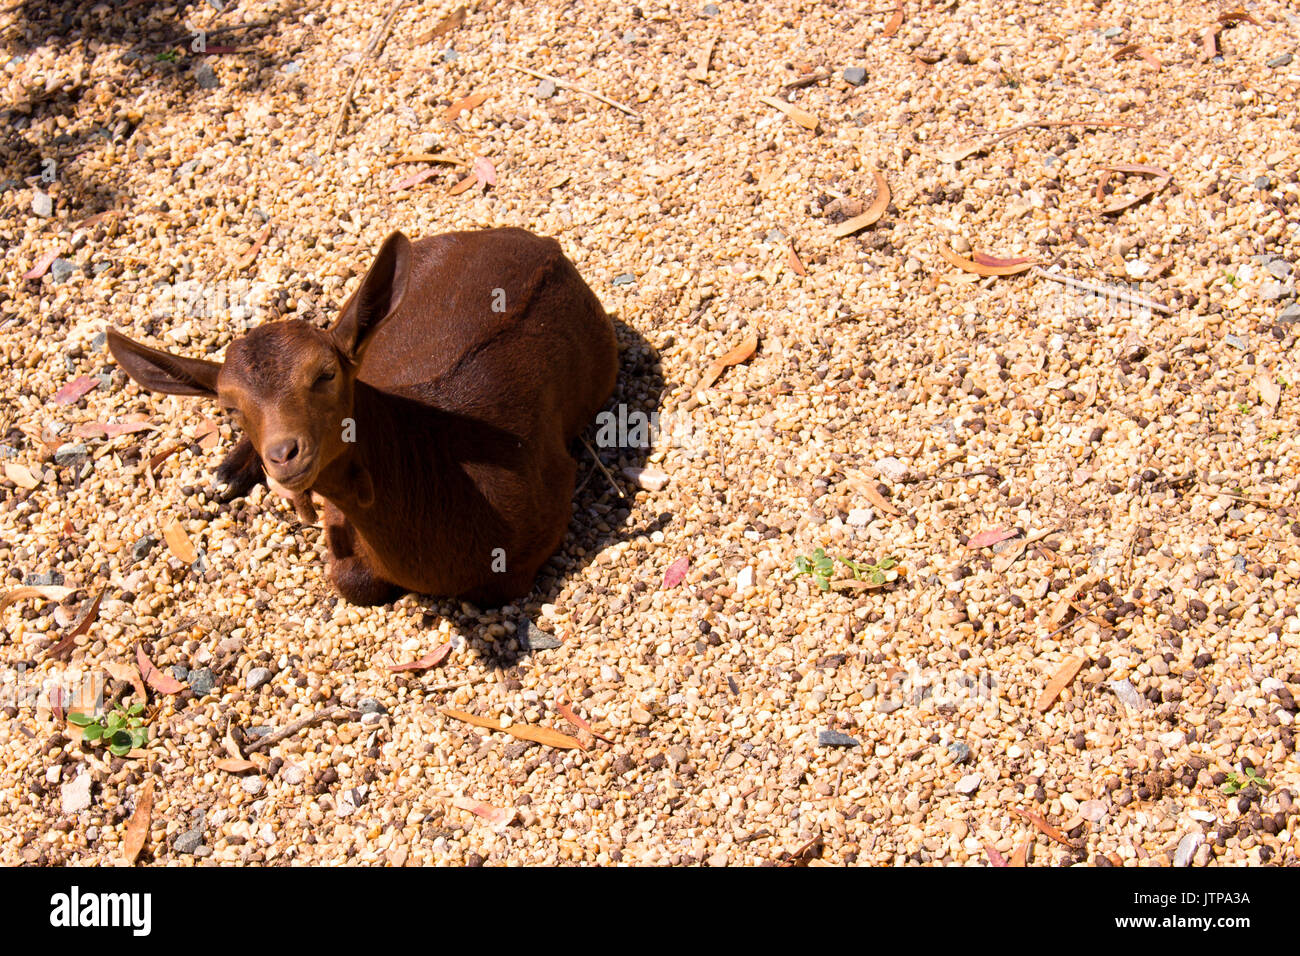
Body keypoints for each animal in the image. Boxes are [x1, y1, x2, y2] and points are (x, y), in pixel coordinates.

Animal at [107, 227, 619, 606]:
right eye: (229, 407)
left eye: (326, 374)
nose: (284, 455)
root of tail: (543, 244)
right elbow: (351, 581)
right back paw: (227, 473)